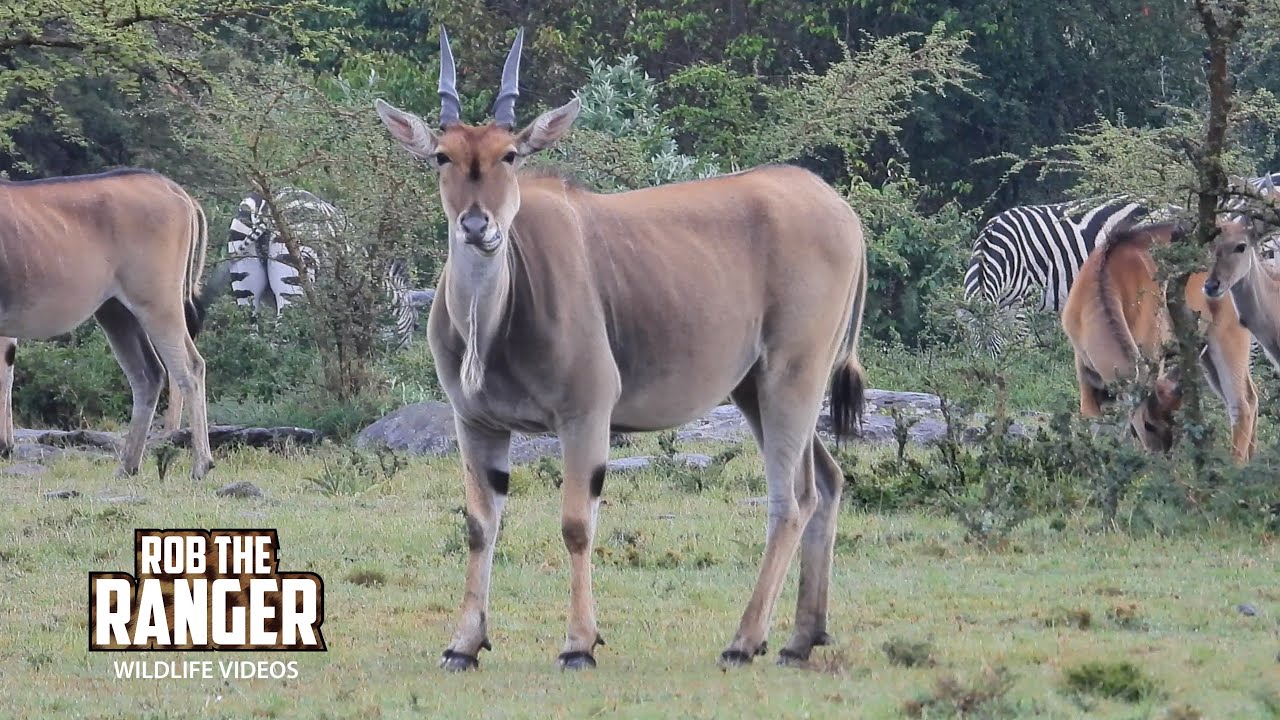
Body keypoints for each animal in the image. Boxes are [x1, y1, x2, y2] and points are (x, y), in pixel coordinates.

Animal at [0, 169, 215, 479]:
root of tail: (174, 189)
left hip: (158, 305)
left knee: (190, 368)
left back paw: (200, 465)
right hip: (116, 313)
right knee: (148, 374)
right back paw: (127, 466)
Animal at [375, 27, 868, 671]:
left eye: (510, 155)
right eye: (442, 156)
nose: (477, 226)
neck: (496, 318)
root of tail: (842, 211)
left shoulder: (585, 414)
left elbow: (576, 524)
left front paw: (578, 644)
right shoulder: (475, 423)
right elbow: (481, 526)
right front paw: (464, 644)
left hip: (793, 377)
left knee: (794, 498)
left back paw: (744, 640)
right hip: (755, 389)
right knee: (828, 482)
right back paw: (800, 638)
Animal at [1062, 221, 1256, 463]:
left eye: (1172, 421)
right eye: (1148, 424)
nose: (1163, 456)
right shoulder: (1085, 373)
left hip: (1227, 338)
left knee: (1241, 404)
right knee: (1251, 396)